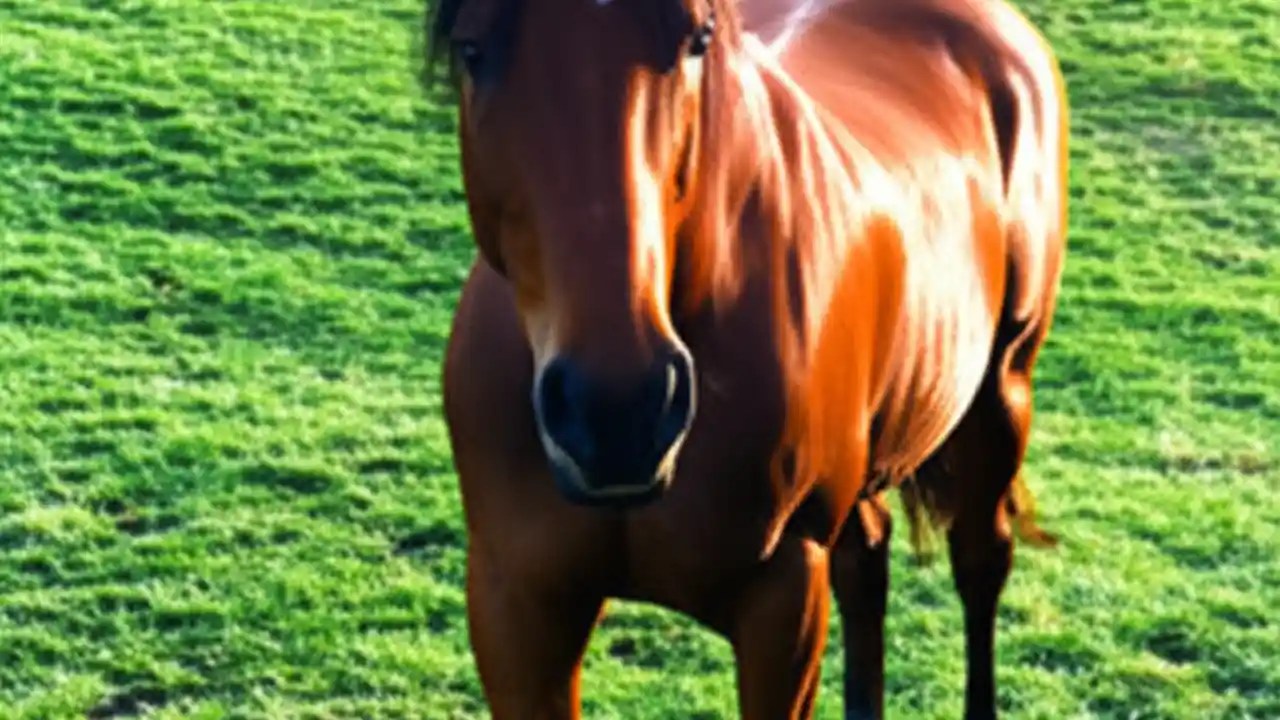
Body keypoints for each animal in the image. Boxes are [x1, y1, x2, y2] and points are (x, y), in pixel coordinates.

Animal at [429, 0, 1069, 716]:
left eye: (697, 41)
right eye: (472, 50)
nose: (618, 413)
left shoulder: (782, 599)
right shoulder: (517, 605)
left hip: (1000, 395)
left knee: (979, 562)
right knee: (868, 561)